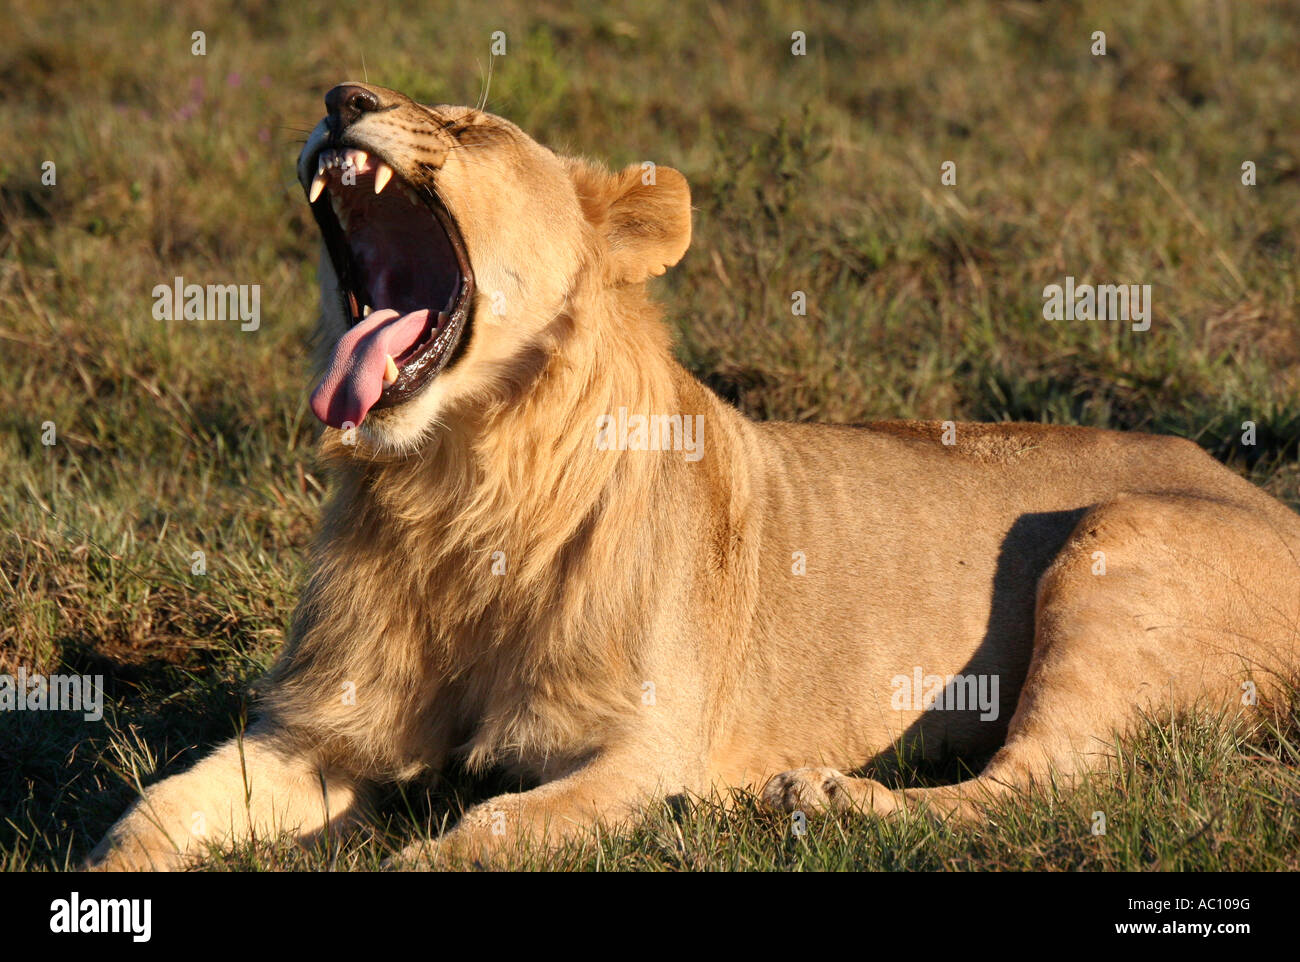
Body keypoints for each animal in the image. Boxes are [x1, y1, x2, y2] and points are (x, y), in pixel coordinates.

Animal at [89, 83, 1300, 870]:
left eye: (469, 126)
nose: (341, 96)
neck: (456, 486)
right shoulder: (318, 734)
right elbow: (153, 814)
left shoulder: (643, 752)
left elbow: (477, 835)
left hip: (1116, 540)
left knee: (1033, 786)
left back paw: (817, 799)